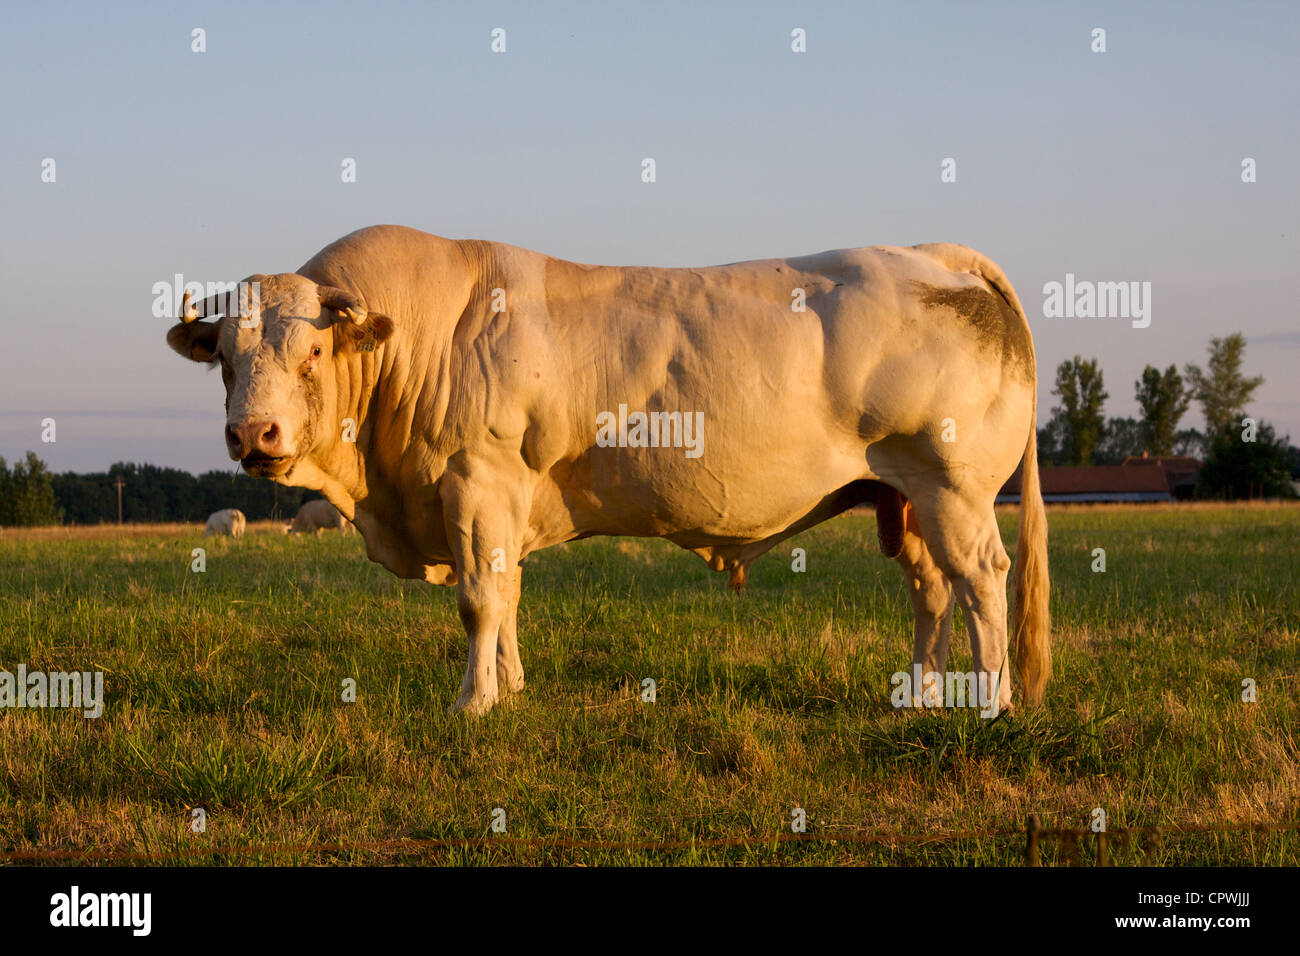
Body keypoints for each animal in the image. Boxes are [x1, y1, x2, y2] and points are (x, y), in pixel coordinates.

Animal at [166, 225, 1050, 716]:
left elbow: (478, 599)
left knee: (983, 580)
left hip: (953, 486)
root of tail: (935, 257)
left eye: (311, 354)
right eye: (226, 361)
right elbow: (506, 594)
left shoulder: (476, 481)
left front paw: (472, 703)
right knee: (933, 591)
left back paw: (991, 704)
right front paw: (512, 688)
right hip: (904, 497)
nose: (252, 433)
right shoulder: (503, 499)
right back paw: (919, 701)